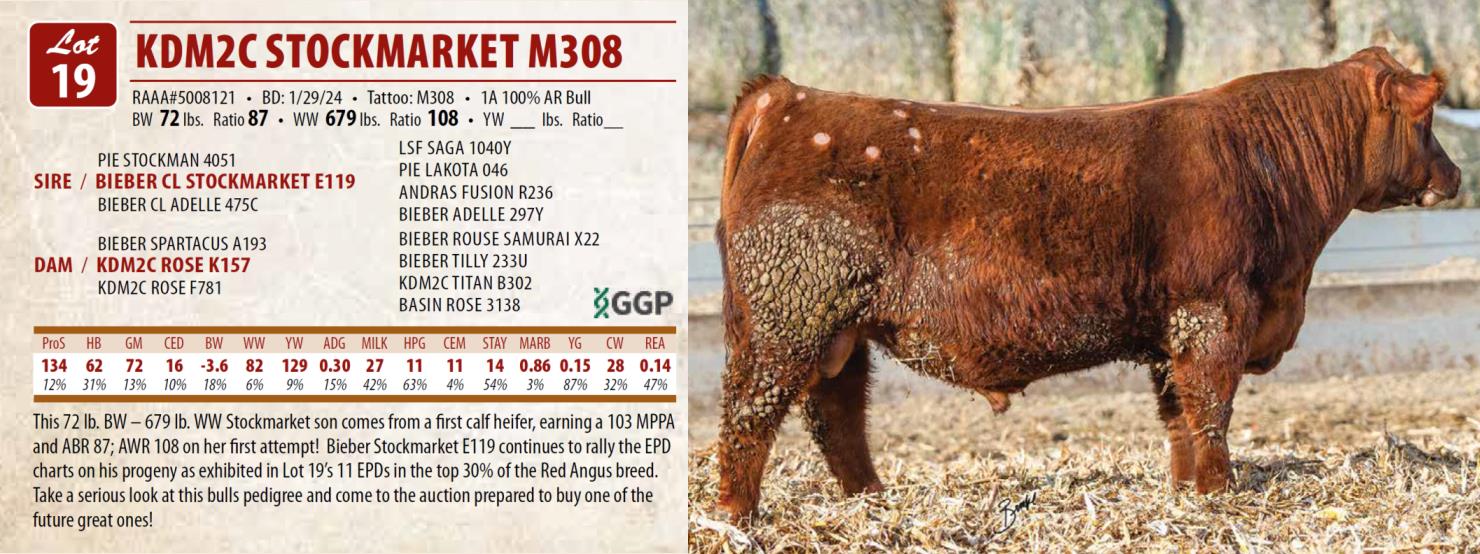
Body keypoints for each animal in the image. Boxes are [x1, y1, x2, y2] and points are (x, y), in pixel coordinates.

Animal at [712, 46, 1461, 522]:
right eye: (1425, 121)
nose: (1455, 176)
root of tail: (787, 96)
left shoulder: (1169, 332)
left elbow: (1178, 415)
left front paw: (1185, 492)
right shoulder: (1213, 312)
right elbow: (1212, 408)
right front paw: (1220, 492)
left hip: (838, 328)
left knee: (835, 413)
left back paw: (871, 498)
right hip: (788, 314)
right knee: (751, 413)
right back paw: (738, 516)